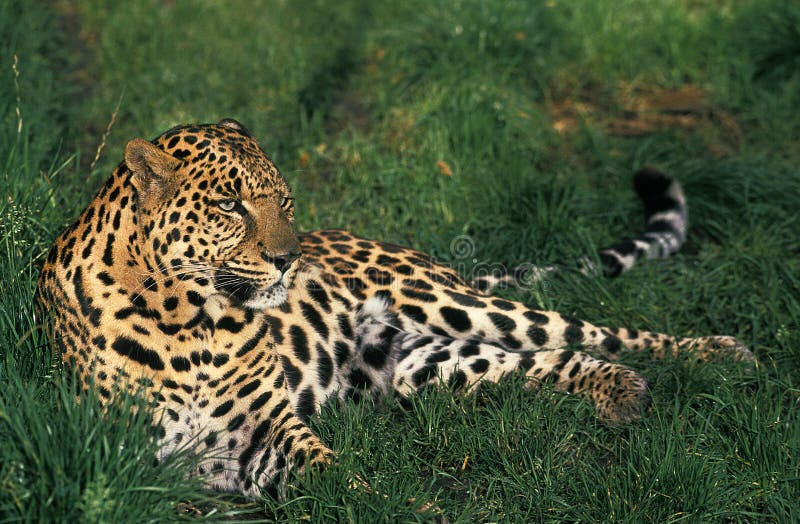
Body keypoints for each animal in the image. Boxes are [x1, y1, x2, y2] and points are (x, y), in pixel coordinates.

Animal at [36, 118, 753, 502]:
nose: (291, 258)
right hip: (425, 365)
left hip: (447, 302)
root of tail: (437, 262)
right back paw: (621, 393)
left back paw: (719, 355)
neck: (194, 324)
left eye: (283, 201)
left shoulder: (265, 428)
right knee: (542, 358)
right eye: (229, 206)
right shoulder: (150, 456)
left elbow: (335, 474)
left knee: (597, 331)